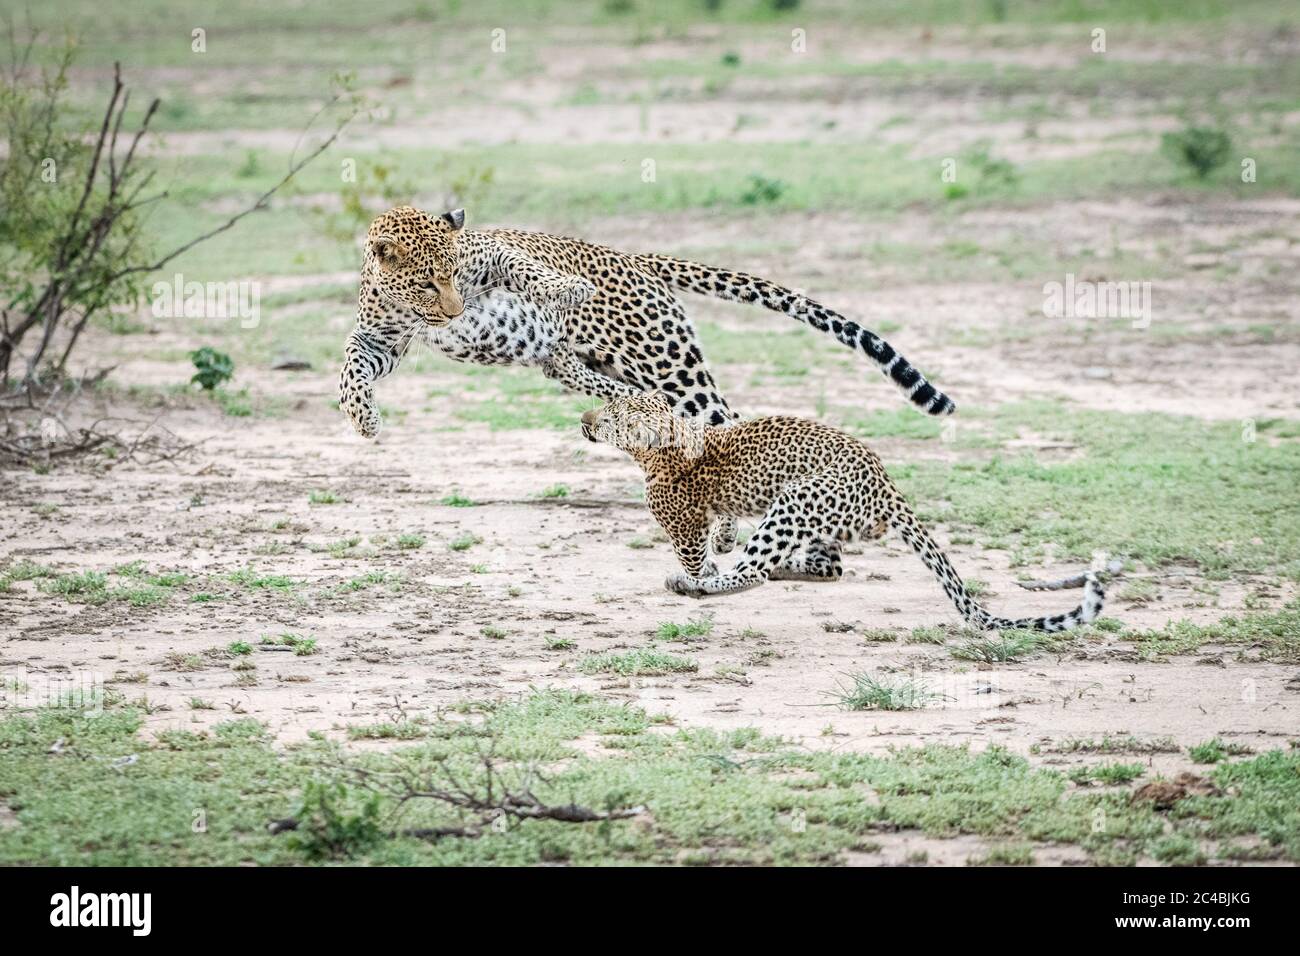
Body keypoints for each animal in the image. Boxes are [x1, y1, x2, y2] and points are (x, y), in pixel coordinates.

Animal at [580, 391, 1105, 633]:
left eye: (612, 417)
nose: (584, 419)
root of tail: (886, 483)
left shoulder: (684, 525)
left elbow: (694, 555)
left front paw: (698, 574)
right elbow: (723, 527)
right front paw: (724, 542)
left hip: (795, 499)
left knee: (755, 573)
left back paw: (704, 587)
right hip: (818, 520)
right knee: (825, 567)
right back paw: (781, 568)